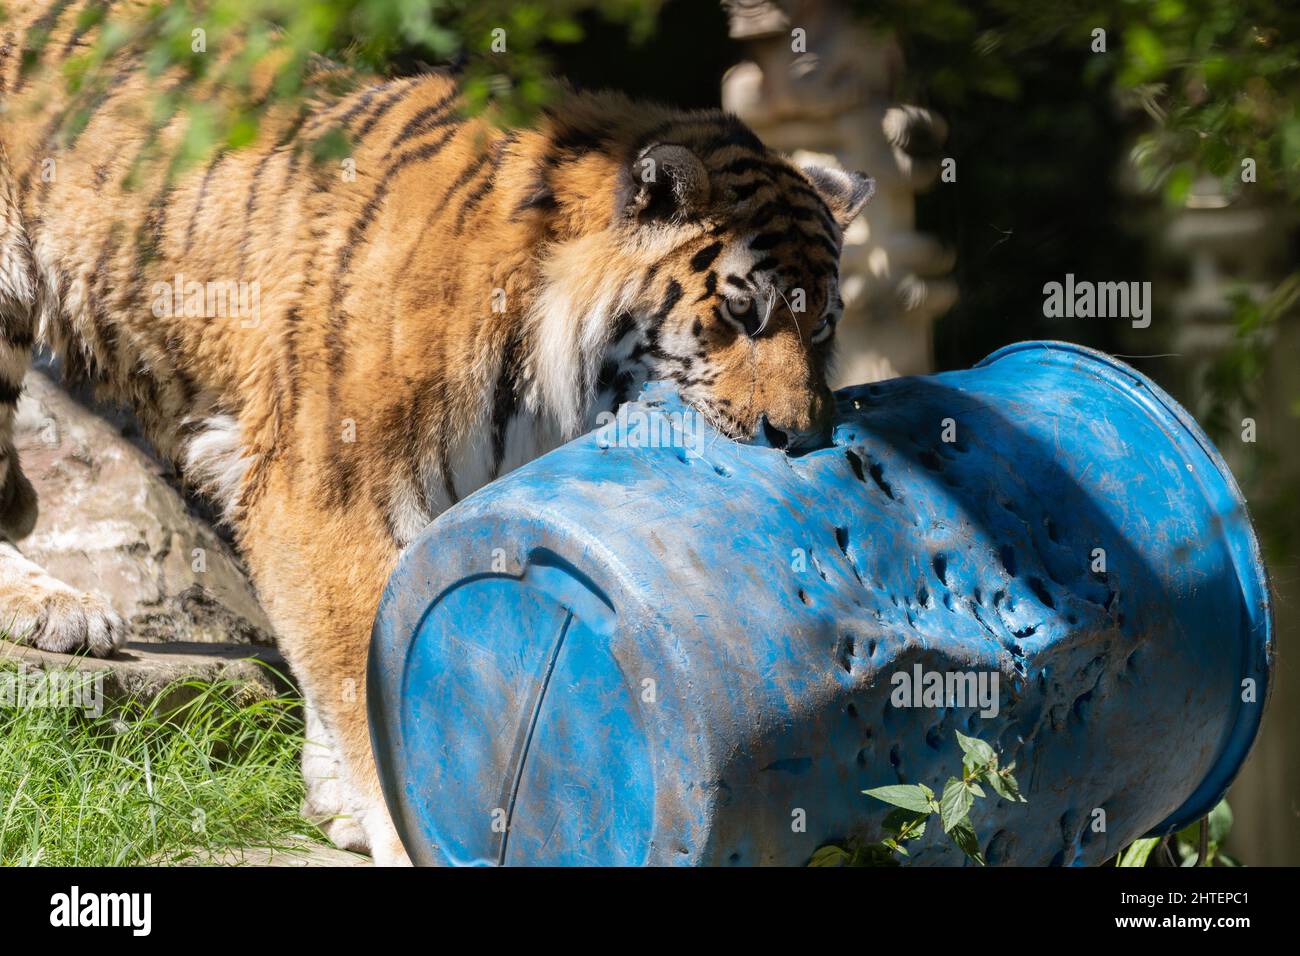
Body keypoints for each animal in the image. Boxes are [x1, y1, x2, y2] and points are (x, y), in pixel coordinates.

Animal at [0, 1, 873, 864]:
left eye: (824, 325)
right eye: (741, 313)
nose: (799, 435)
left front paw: (331, 797)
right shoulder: (323, 492)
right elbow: (365, 677)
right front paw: (388, 820)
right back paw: (58, 609)